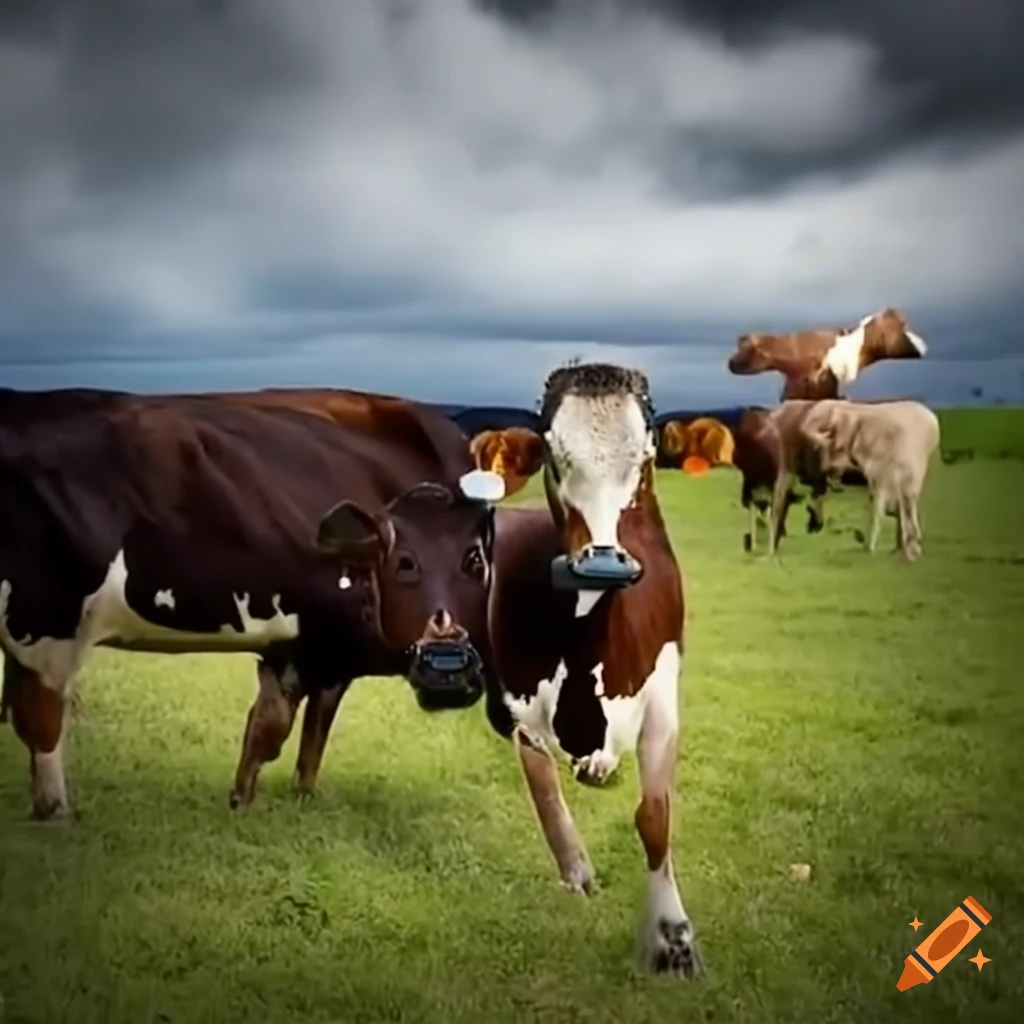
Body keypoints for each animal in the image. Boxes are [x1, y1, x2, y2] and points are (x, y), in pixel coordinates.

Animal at [0, 390, 506, 819]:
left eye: (475, 558)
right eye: (402, 561)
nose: (449, 672)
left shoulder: (316, 649)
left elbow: (297, 726)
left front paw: (286, 795)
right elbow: (273, 727)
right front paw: (242, 803)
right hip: (46, 618)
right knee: (43, 718)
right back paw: (54, 811)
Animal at [289, 362, 705, 978]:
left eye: (645, 459)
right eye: (555, 457)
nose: (603, 563)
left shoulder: (663, 699)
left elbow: (654, 817)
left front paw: (673, 940)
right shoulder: (518, 706)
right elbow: (546, 793)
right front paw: (580, 875)